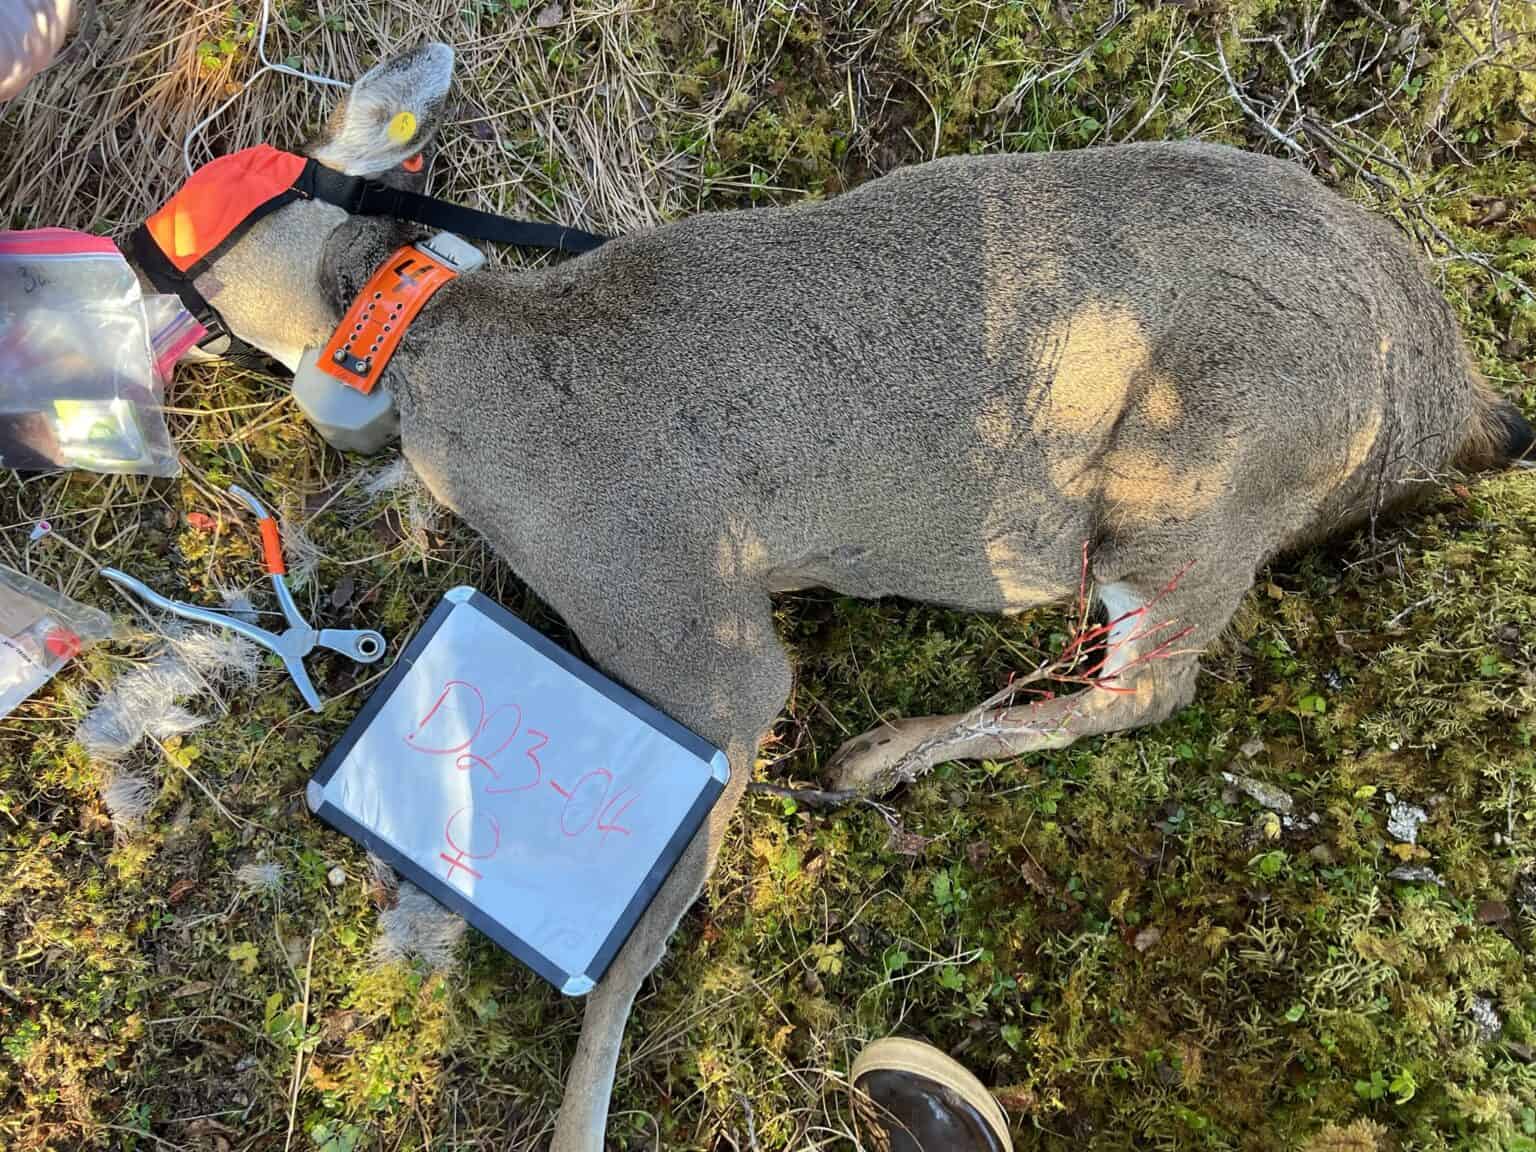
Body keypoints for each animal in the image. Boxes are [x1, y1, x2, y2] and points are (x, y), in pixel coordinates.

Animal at [130, 39, 1532, 1152]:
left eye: (205, 222)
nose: (124, 274)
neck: (439, 359)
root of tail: (1444, 390)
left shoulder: (675, 613)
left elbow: (642, 929)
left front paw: (581, 1116)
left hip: (1195, 476)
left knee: (1149, 683)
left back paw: (875, 759)